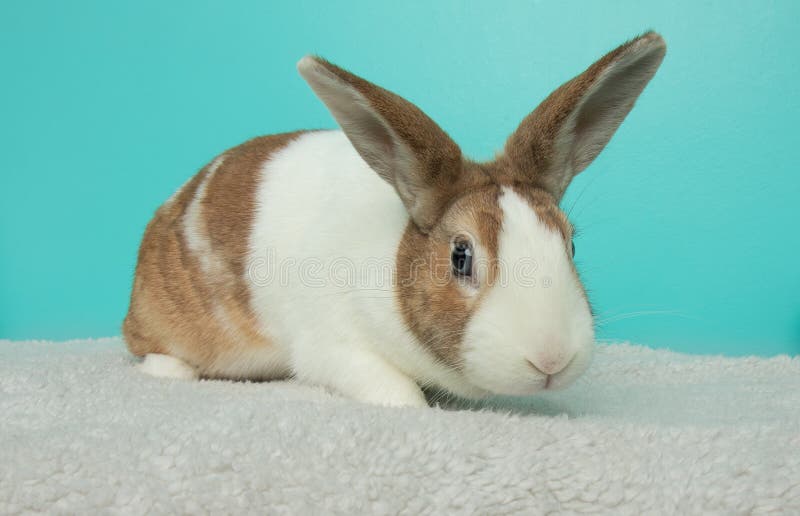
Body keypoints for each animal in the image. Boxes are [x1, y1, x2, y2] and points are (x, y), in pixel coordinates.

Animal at [123, 32, 666, 407]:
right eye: (461, 256)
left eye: (571, 245)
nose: (552, 360)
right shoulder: (333, 346)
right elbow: (398, 394)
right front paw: (415, 405)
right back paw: (172, 372)